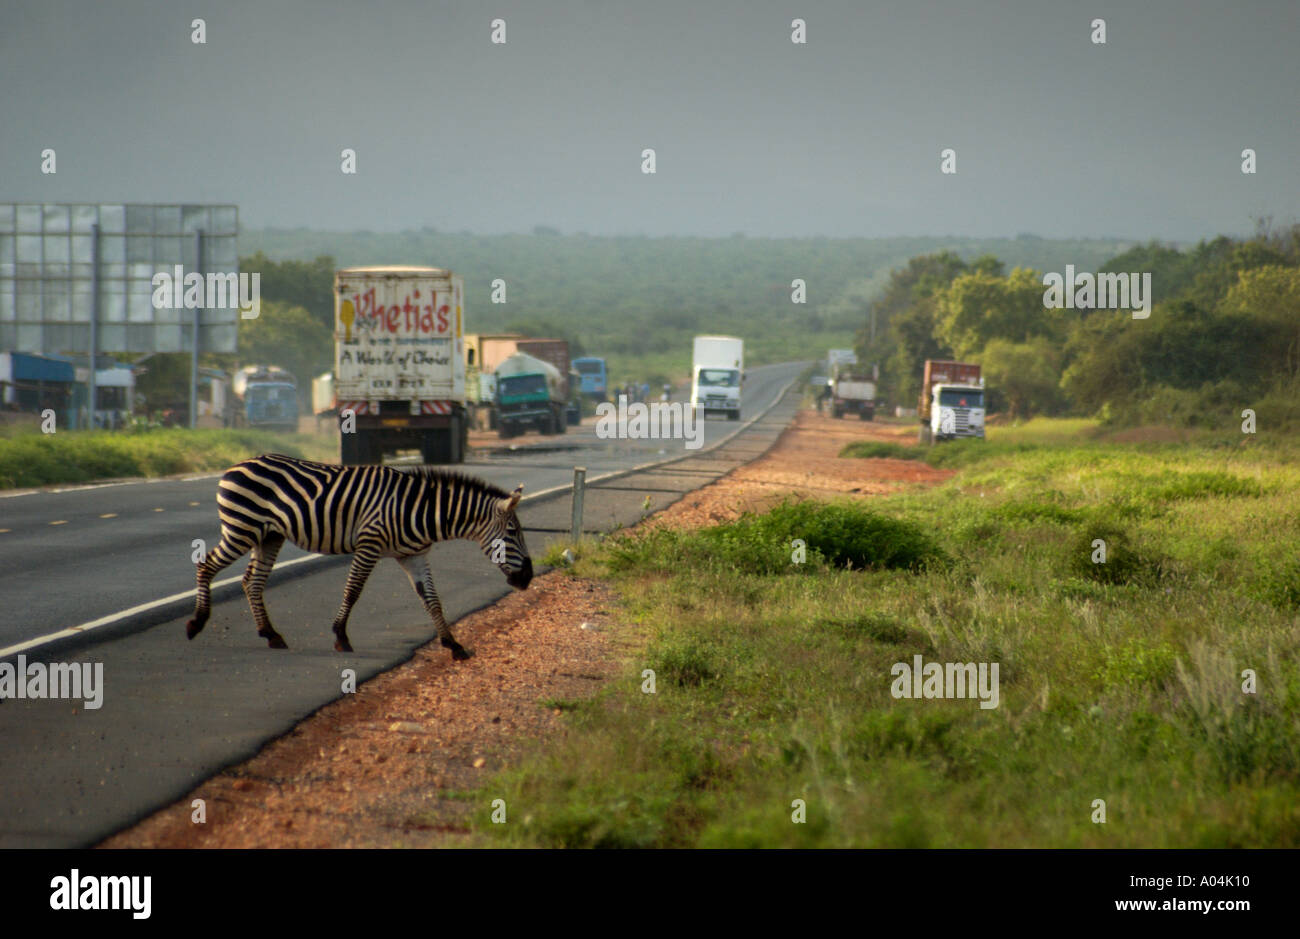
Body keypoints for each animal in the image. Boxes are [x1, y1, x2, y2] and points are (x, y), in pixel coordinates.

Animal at [185, 453, 533, 658]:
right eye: (513, 532)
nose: (528, 578)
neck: (420, 512)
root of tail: (237, 465)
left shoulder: (414, 555)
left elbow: (432, 599)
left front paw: (453, 644)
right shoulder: (369, 543)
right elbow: (352, 591)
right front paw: (341, 637)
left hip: (269, 535)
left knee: (251, 581)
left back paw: (270, 634)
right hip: (242, 528)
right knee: (206, 564)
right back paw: (197, 623)